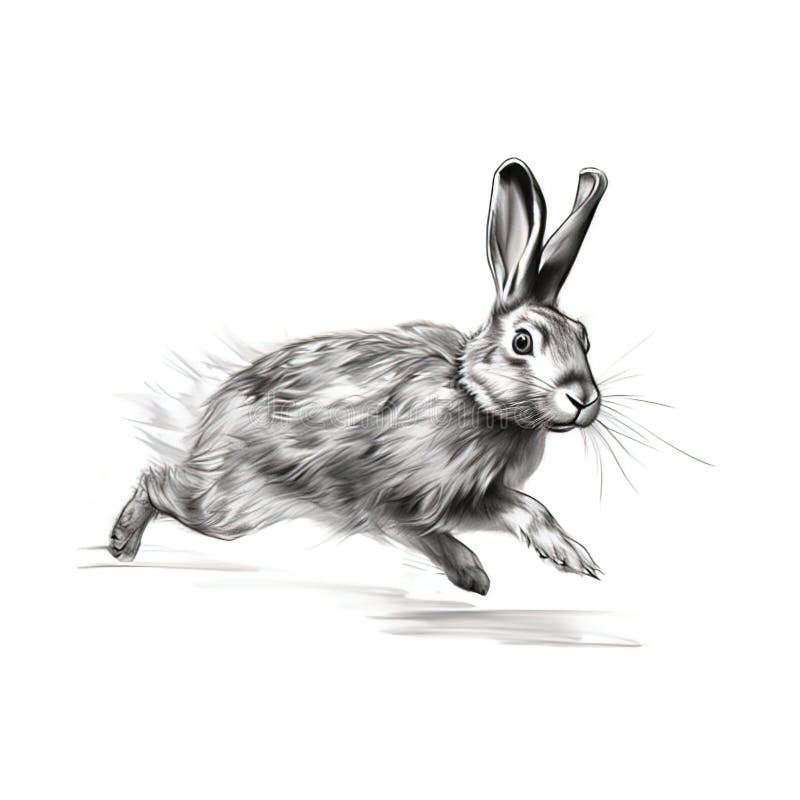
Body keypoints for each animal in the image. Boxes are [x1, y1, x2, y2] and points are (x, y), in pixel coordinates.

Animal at [110, 157, 608, 595]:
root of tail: (210, 423)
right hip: (232, 506)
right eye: (522, 342)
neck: (470, 393)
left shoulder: (438, 501)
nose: (583, 399)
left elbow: (472, 522)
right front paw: (551, 559)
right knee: (159, 482)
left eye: (584, 338)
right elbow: (512, 512)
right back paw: (121, 541)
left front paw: (487, 573)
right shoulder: (414, 492)